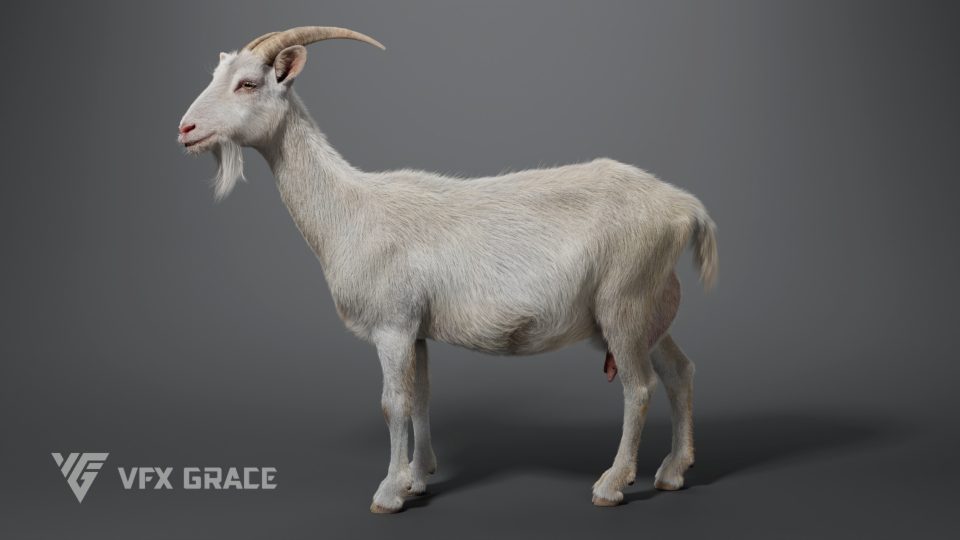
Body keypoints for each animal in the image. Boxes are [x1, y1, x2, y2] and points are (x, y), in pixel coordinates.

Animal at [179, 26, 718, 513]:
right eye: (215, 76)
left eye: (248, 83)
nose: (185, 130)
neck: (351, 210)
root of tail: (684, 207)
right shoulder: (416, 329)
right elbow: (421, 397)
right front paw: (418, 477)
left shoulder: (392, 324)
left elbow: (393, 403)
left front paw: (388, 493)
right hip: (647, 305)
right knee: (680, 370)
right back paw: (674, 470)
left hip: (622, 301)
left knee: (638, 386)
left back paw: (612, 484)